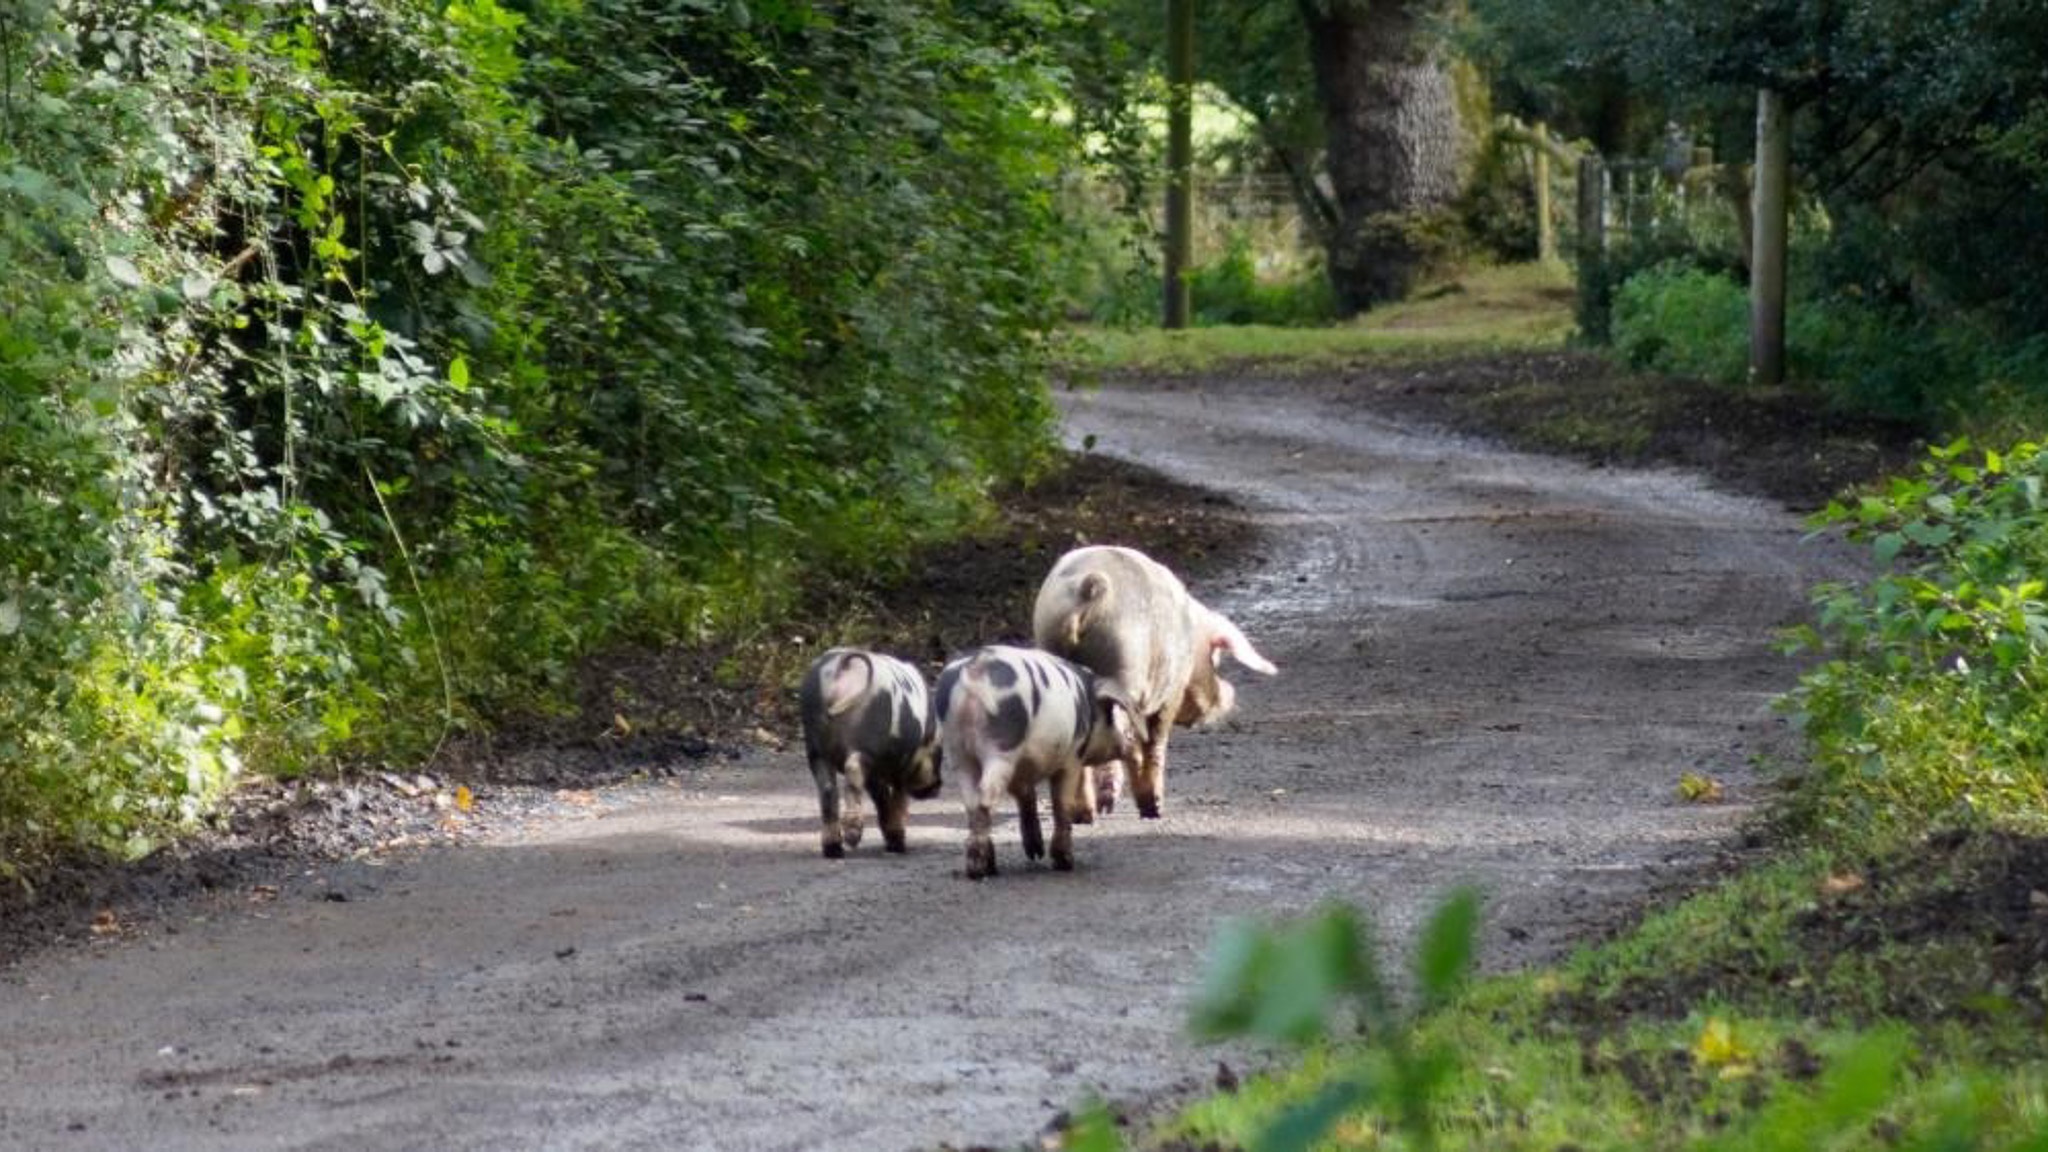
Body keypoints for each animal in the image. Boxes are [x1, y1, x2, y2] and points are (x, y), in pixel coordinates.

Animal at [798, 648, 942, 859]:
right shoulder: (900, 763)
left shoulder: (877, 771)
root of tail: (843, 664)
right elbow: (898, 799)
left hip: (816, 746)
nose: (937, 787)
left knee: (827, 789)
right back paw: (852, 838)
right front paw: (898, 845)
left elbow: (882, 799)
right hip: (862, 745)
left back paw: (833, 850)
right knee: (852, 774)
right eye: (940, 754)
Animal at [933, 645, 1139, 879]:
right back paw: (982, 869)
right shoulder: (1071, 757)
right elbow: (1061, 803)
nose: (1132, 744)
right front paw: (1064, 862)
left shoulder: (1021, 770)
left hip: (957, 752)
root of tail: (976, 669)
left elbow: (1027, 797)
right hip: (1001, 748)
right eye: (1114, 715)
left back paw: (984, 868)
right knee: (985, 796)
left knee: (971, 802)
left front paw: (1036, 853)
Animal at [1031, 545, 1277, 821]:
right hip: (1125, 670)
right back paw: (1136, 808)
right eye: (1216, 659)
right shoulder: (1170, 694)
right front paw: (1155, 807)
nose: (1230, 693)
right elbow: (1156, 742)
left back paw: (1084, 815)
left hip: (1051, 648)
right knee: (1126, 743)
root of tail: (1091, 589)